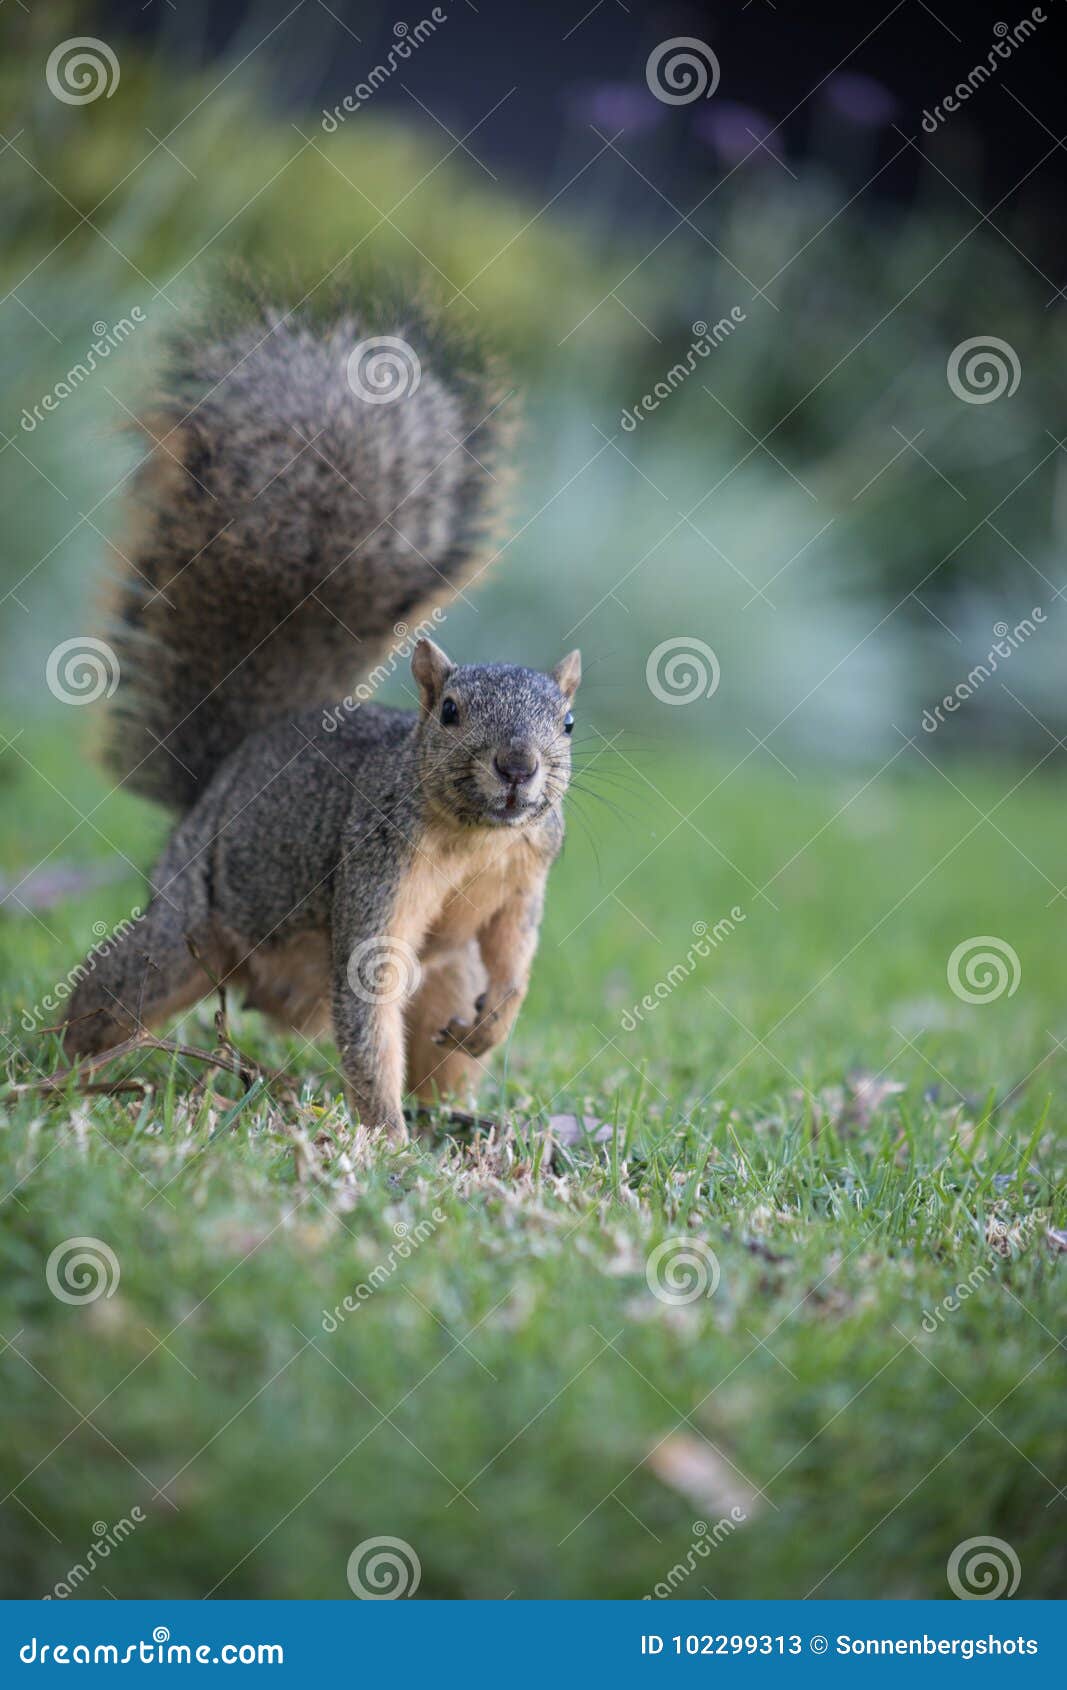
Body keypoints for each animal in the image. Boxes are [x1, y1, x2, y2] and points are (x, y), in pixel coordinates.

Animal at [61, 273, 581, 1141]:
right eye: (449, 712)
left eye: (568, 723)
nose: (518, 766)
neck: (474, 837)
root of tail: (229, 767)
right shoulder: (377, 867)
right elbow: (368, 1003)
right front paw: (386, 1142)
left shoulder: (523, 876)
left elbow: (515, 958)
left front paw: (495, 1021)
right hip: (184, 924)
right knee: (117, 987)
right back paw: (60, 1069)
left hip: (444, 980)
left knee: (439, 1044)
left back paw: (460, 1116)